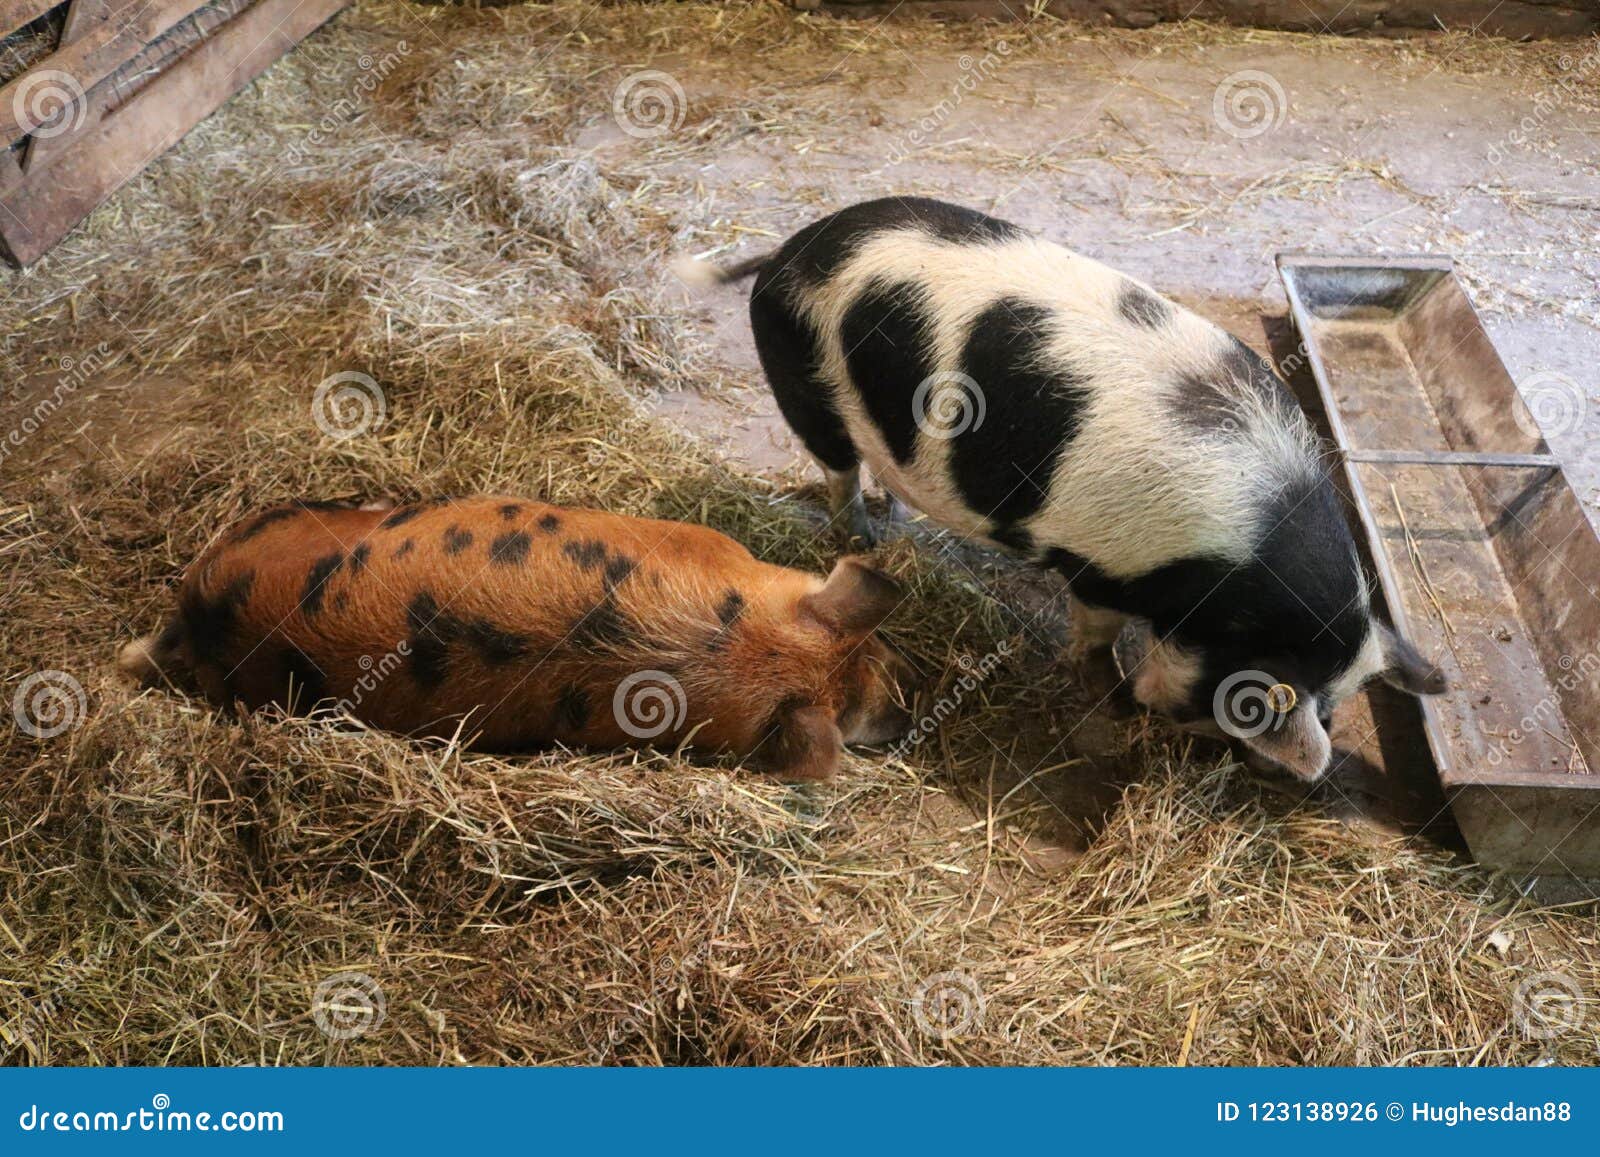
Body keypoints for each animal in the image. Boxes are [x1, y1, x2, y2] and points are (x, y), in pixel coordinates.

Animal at [677, 196, 1446, 781]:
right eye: (1258, 695)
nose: (1280, 771)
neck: (1228, 568)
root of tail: (790, 250)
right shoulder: (1101, 563)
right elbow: (1096, 631)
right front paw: (1112, 694)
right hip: (802, 383)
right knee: (835, 465)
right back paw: (862, 533)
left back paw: (891, 517)